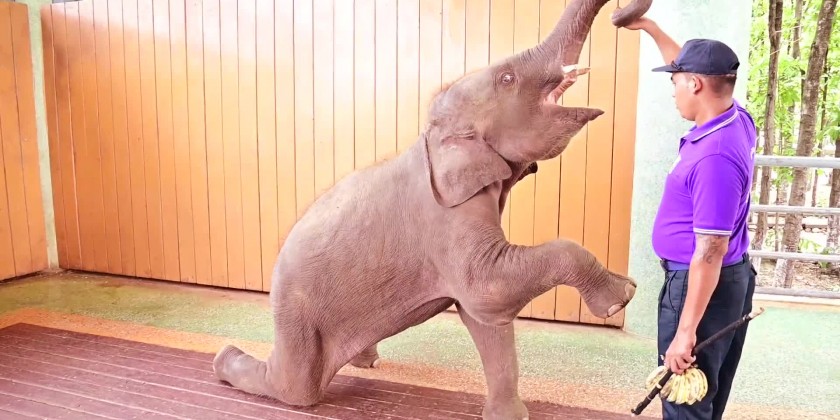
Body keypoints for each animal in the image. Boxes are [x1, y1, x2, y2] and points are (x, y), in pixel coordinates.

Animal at [213, 0, 651, 418]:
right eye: (508, 79)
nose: (621, 16)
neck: (433, 136)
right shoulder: (446, 216)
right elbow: (486, 291)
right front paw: (622, 298)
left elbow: (484, 314)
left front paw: (508, 415)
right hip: (298, 315)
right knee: (294, 387)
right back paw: (225, 360)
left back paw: (367, 361)